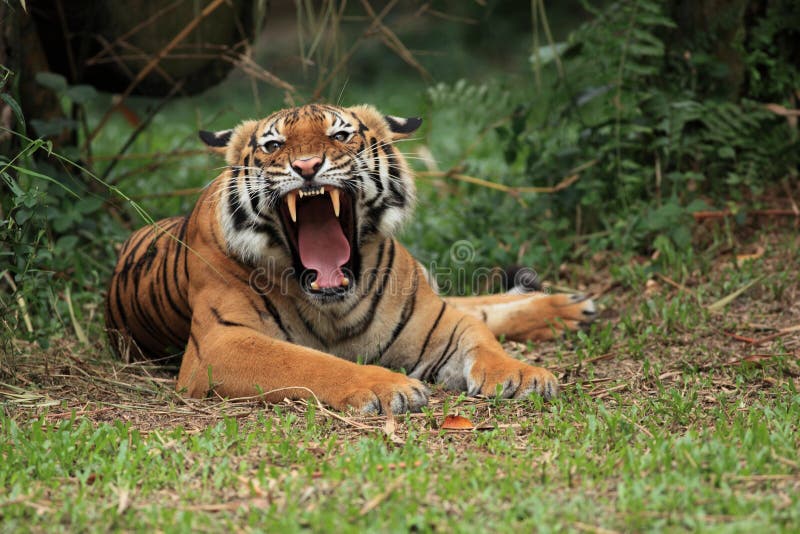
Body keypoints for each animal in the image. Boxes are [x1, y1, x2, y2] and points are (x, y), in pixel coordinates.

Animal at [105, 104, 597, 414]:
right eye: (272, 146)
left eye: (340, 135)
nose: (306, 166)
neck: (334, 303)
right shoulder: (220, 344)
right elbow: (310, 362)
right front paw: (386, 386)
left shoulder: (437, 321)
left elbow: (484, 339)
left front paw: (522, 375)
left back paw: (568, 308)